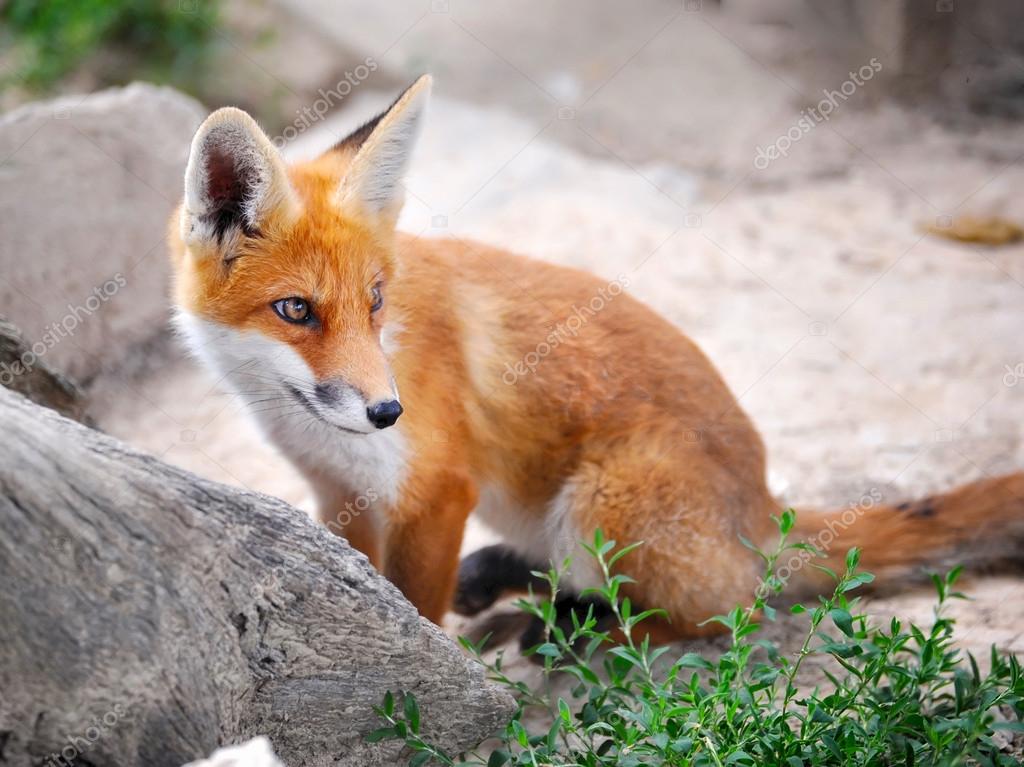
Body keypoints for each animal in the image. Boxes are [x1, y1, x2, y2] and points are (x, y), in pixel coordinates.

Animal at [169, 74, 1024, 640]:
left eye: (376, 300)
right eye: (296, 310)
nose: (387, 411)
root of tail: (762, 510)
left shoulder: (438, 489)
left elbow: (417, 607)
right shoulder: (338, 497)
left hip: (600, 503)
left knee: (717, 622)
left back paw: (580, 634)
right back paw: (516, 586)